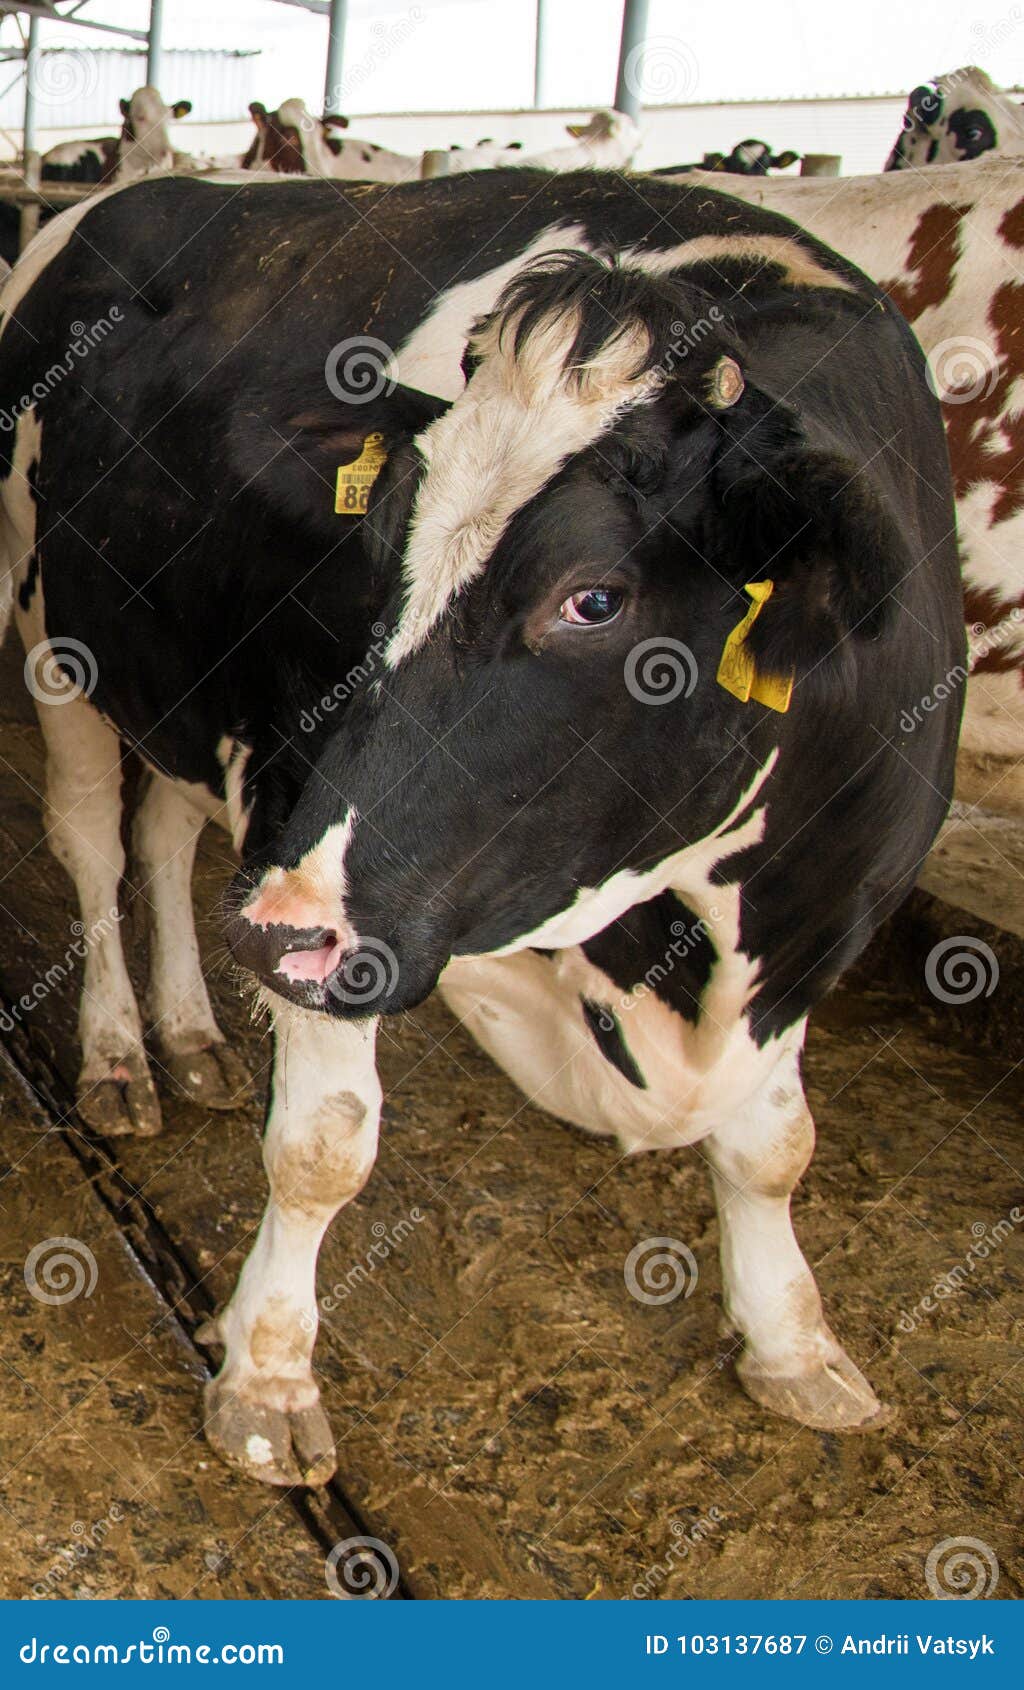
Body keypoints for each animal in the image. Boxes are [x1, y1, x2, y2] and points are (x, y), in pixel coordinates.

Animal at [0, 169, 962, 1486]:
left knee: (167, 843)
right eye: (374, 544)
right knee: (98, 849)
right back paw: (116, 1054)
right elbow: (325, 1144)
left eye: (594, 598)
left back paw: (191, 1034)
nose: (274, 935)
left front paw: (794, 1344)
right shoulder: (323, 867)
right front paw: (267, 1376)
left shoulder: (813, 918)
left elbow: (774, 1146)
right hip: (62, 642)